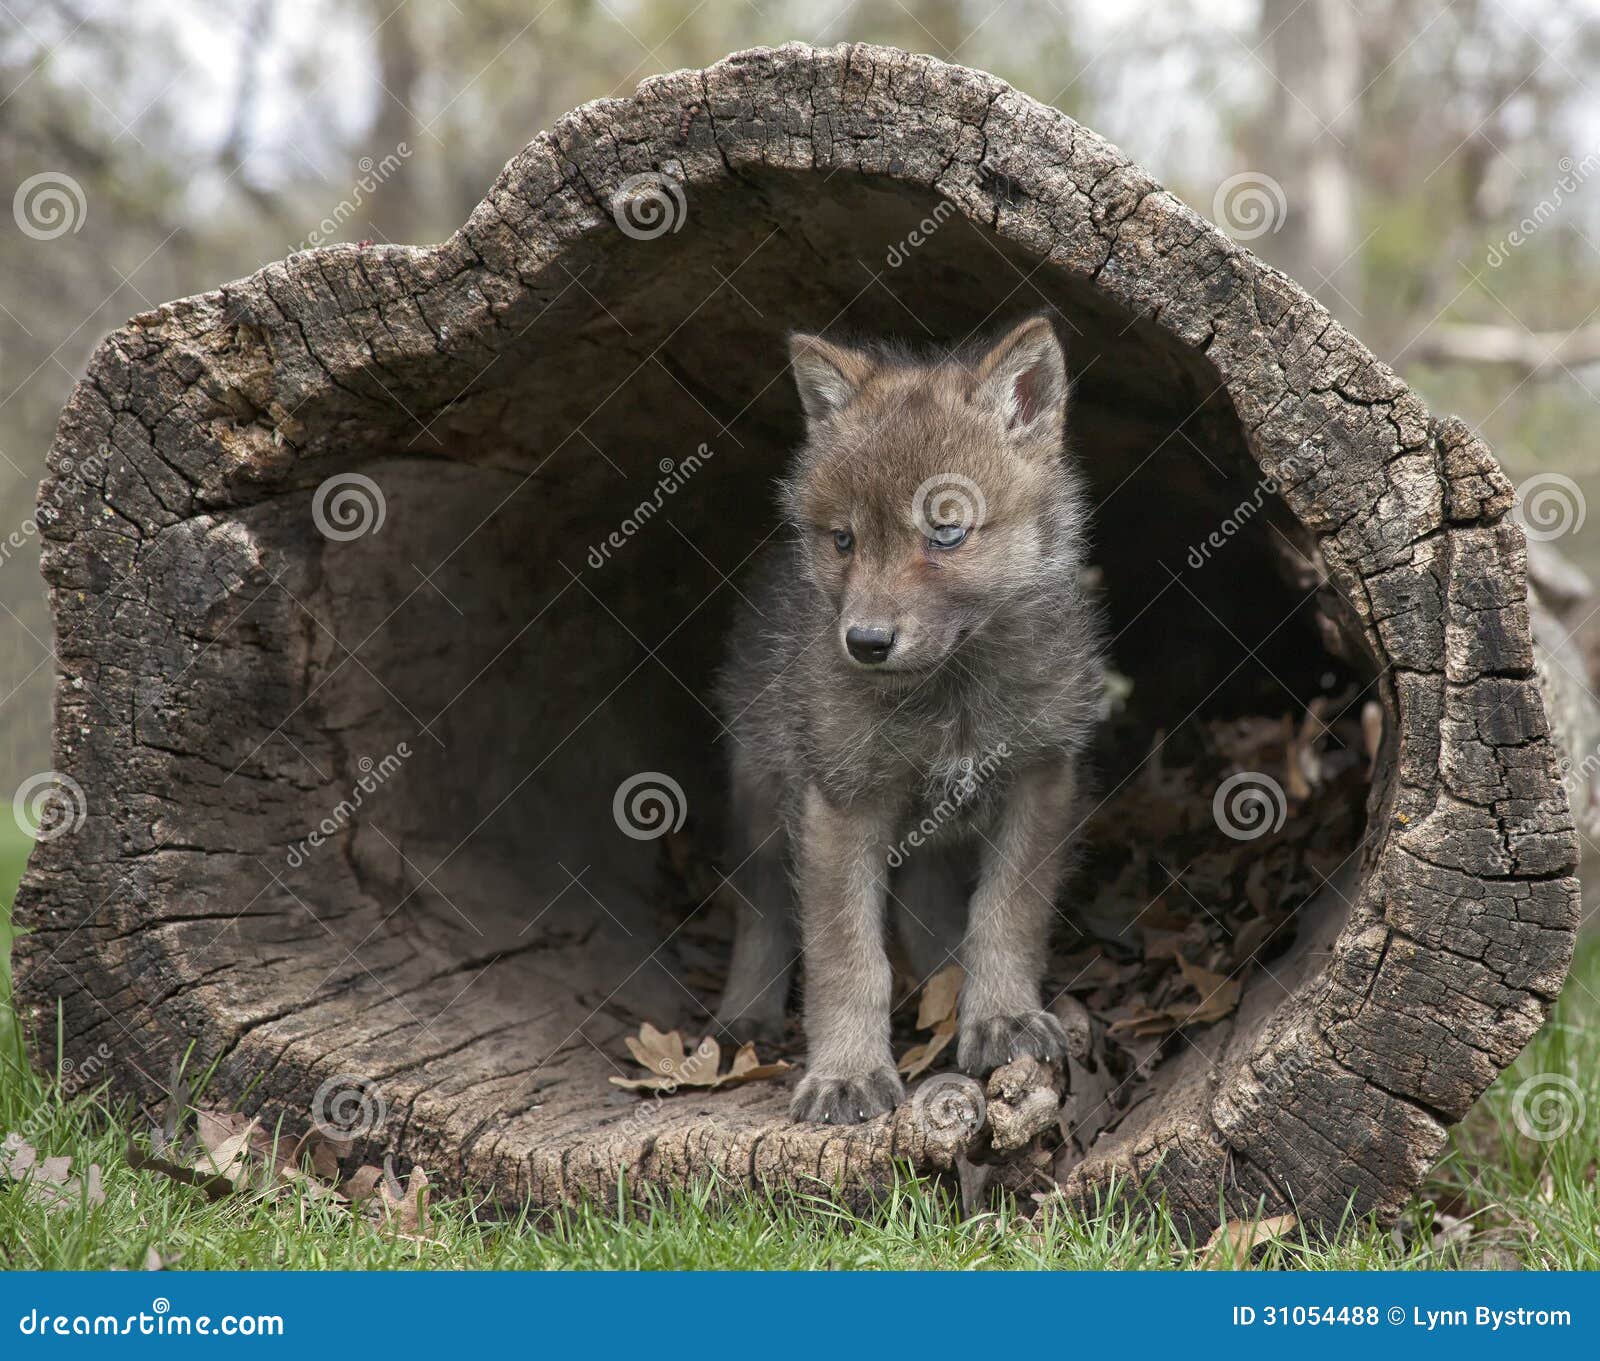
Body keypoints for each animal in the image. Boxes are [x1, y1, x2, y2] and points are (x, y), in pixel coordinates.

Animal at [713, 314, 1106, 1125]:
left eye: (946, 532)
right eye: (844, 540)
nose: (864, 642)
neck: (950, 698)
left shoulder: (1042, 774)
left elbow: (1006, 913)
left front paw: (1001, 1018)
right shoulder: (840, 801)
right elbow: (846, 956)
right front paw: (846, 1074)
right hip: (760, 798)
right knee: (762, 908)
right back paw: (745, 1016)